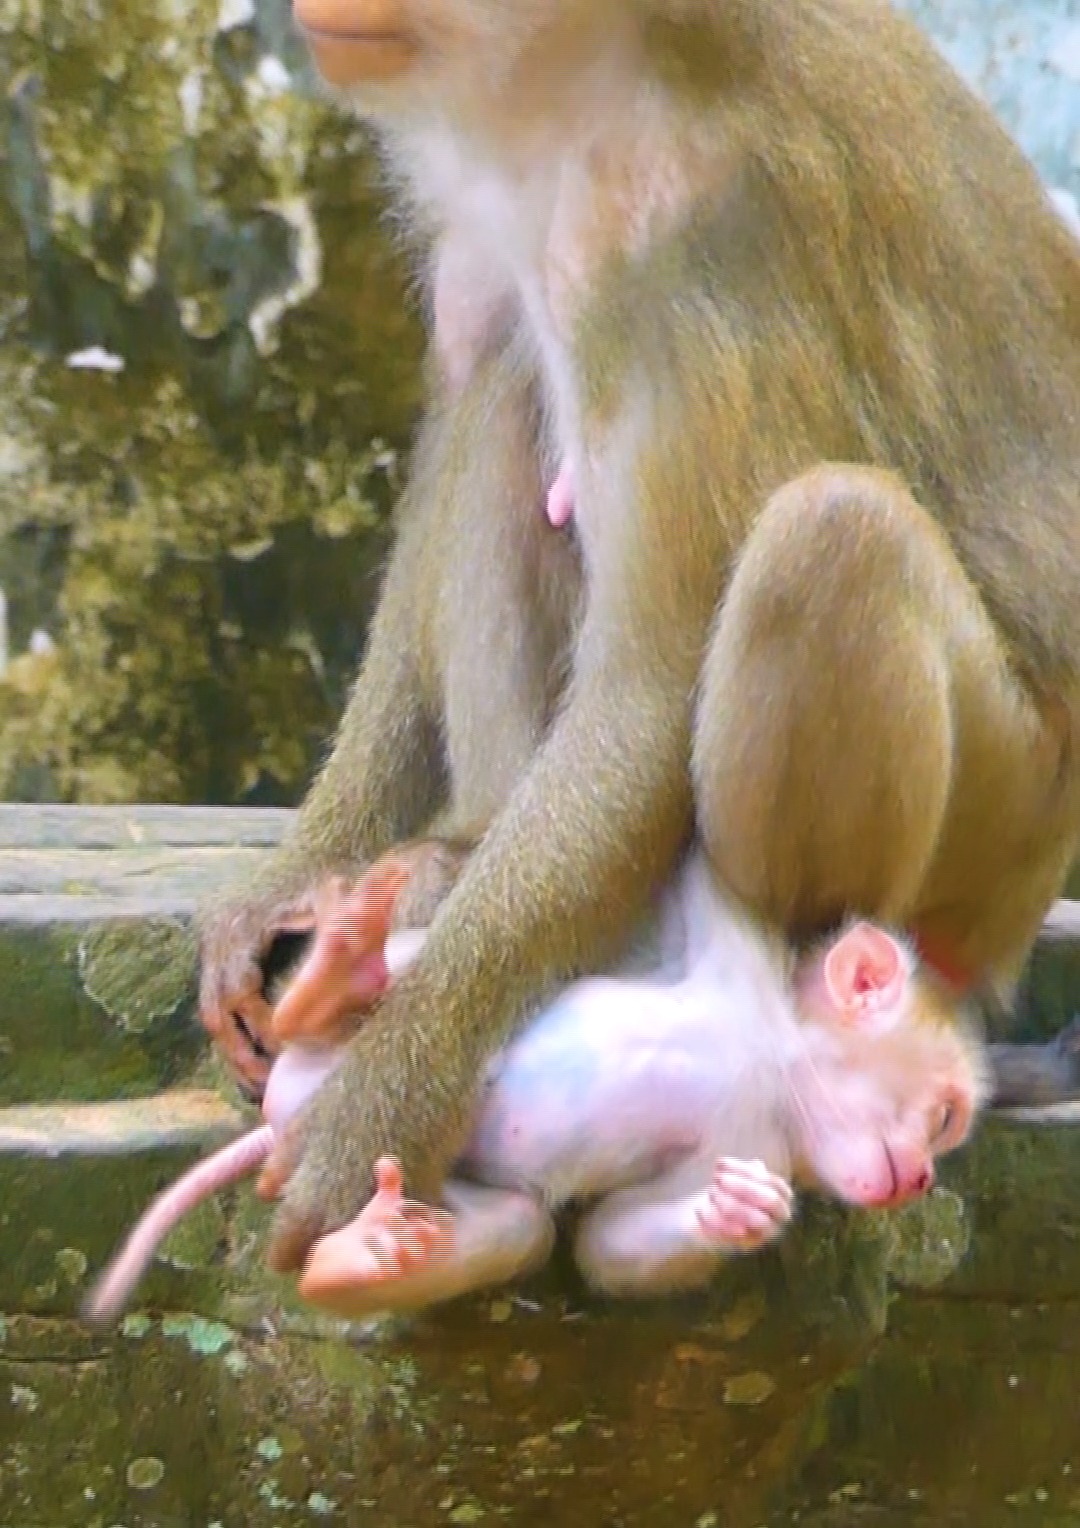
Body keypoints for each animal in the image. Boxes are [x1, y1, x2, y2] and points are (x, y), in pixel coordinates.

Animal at [85, 843, 987, 1324]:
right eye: (945, 1115)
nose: (925, 1175)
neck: (773, 1065)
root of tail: (284, 1114)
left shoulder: (753, 1142)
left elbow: (612, 1246)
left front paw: (739, 1216)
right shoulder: (741, 957)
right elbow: (691, 872)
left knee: (515, 1226)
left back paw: (360, 1256)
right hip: (370, 1066)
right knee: (427, 987)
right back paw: (336, 978)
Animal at [196, 0, 1080, 1275]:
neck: (585, 82)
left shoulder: (706, 236)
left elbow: (653, 687)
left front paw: (385, 1098)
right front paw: (295, 883)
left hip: (1005, 828)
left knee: (831, 535)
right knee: (509, 384)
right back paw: (457, 850)